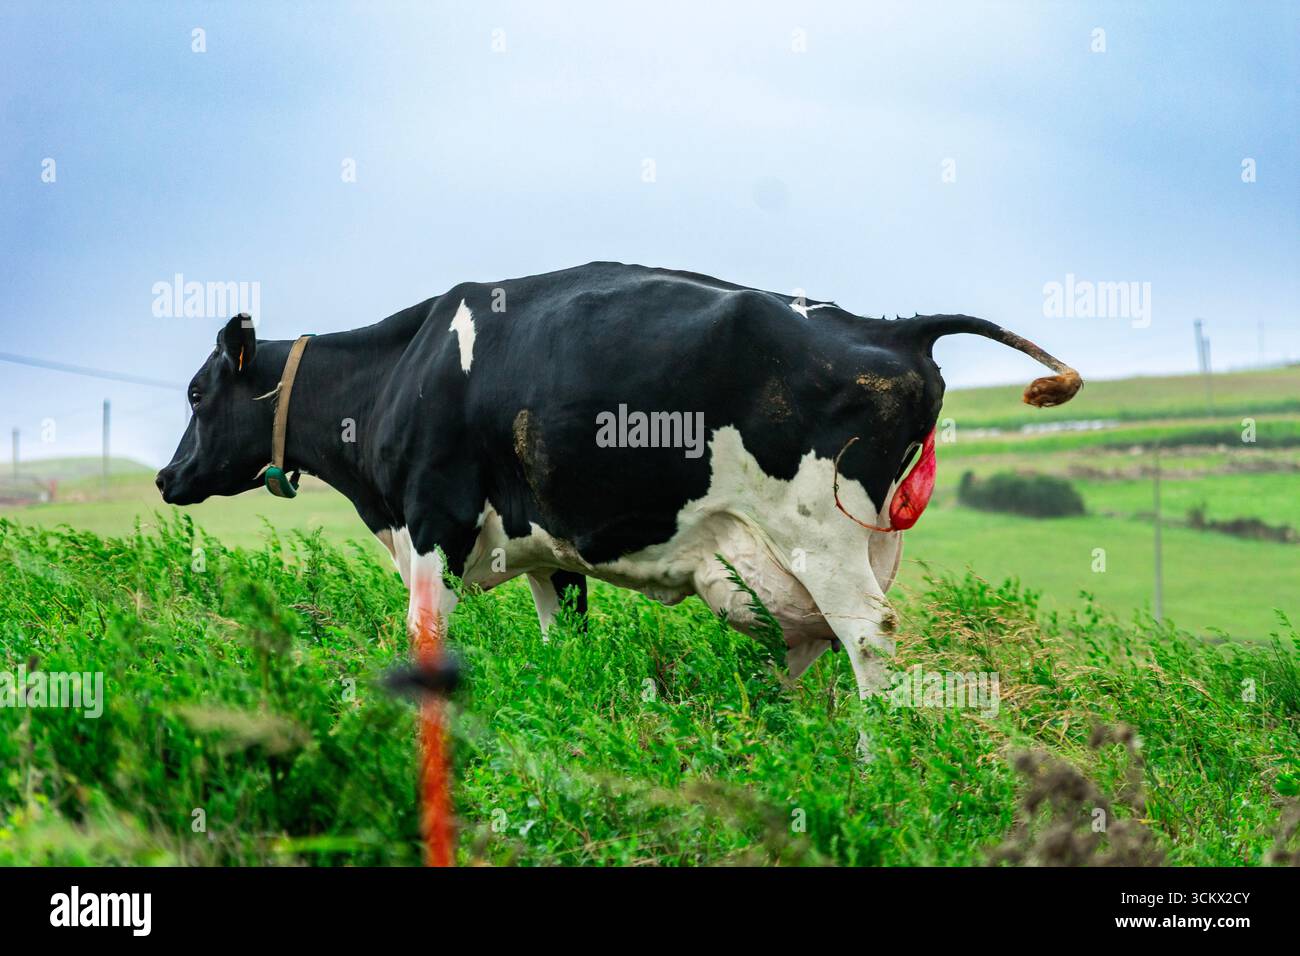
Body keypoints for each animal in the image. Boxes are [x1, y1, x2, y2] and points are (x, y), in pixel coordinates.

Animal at [157, 261, 1081, 731]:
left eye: (198, 393)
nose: (166, 478)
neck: (398, 371)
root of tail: (892, 327)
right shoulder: (545, 546)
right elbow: (562, 639)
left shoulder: (432, 523)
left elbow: (424, 638)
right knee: (812, 643)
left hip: (820, 532)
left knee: (867, 636)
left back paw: (871, 754)